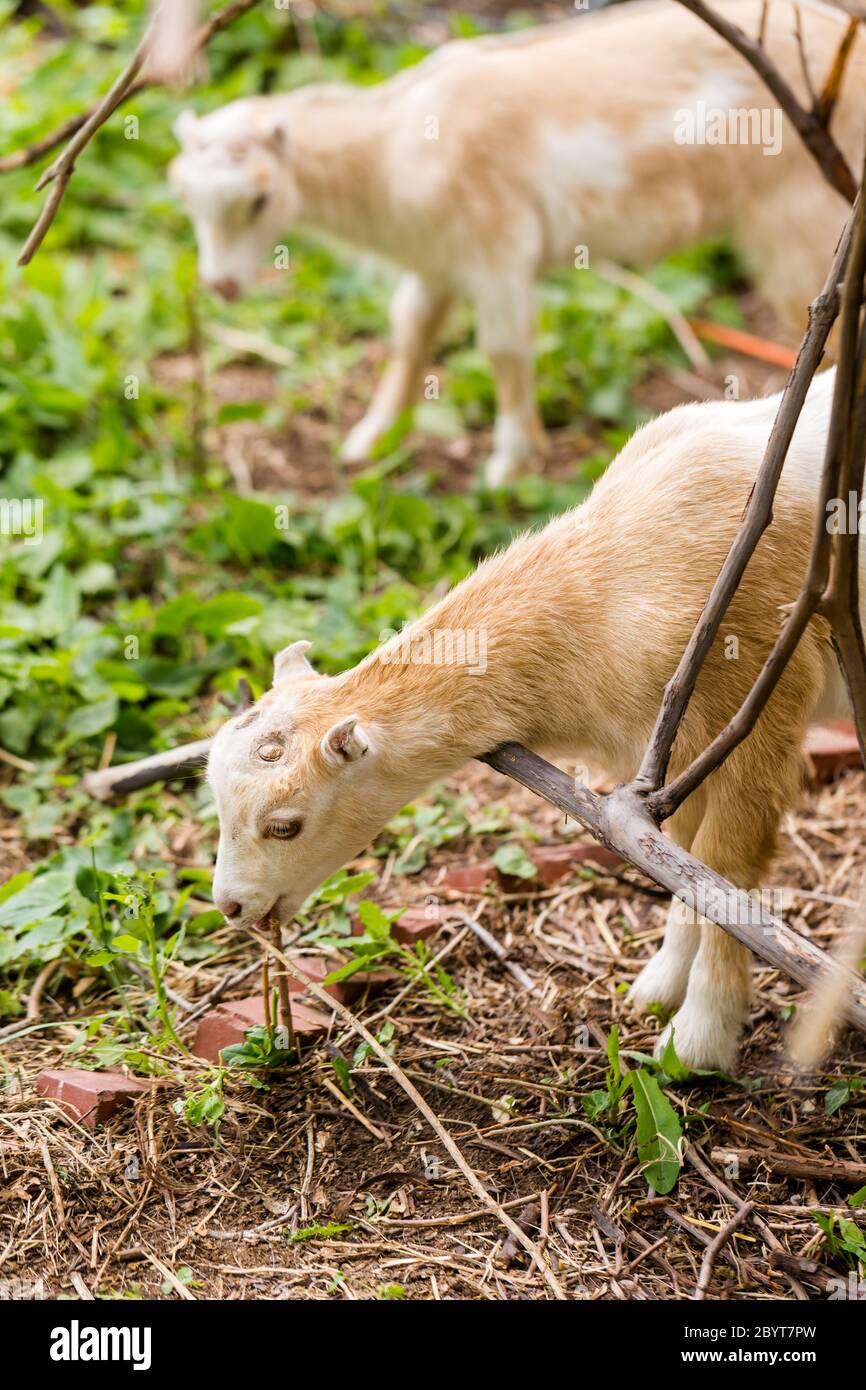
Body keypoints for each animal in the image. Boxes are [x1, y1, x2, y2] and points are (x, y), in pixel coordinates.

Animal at [169, 0, 865, 485]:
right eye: (186, 201)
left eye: (258, 200)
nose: (221, 286)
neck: (394, 148)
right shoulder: (437, 261)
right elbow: (410, 331)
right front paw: (373, 439)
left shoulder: (496, 249)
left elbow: (502, 349)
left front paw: (510, 464)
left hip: (802, 218)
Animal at [207, 368, 859, 1073]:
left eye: (285, 826)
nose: (231, 905)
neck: (605, 591)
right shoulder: (672, 751)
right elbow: (685, 860)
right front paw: (658, 989)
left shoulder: (759, 705)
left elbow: (726, 869)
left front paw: (697, 1042)